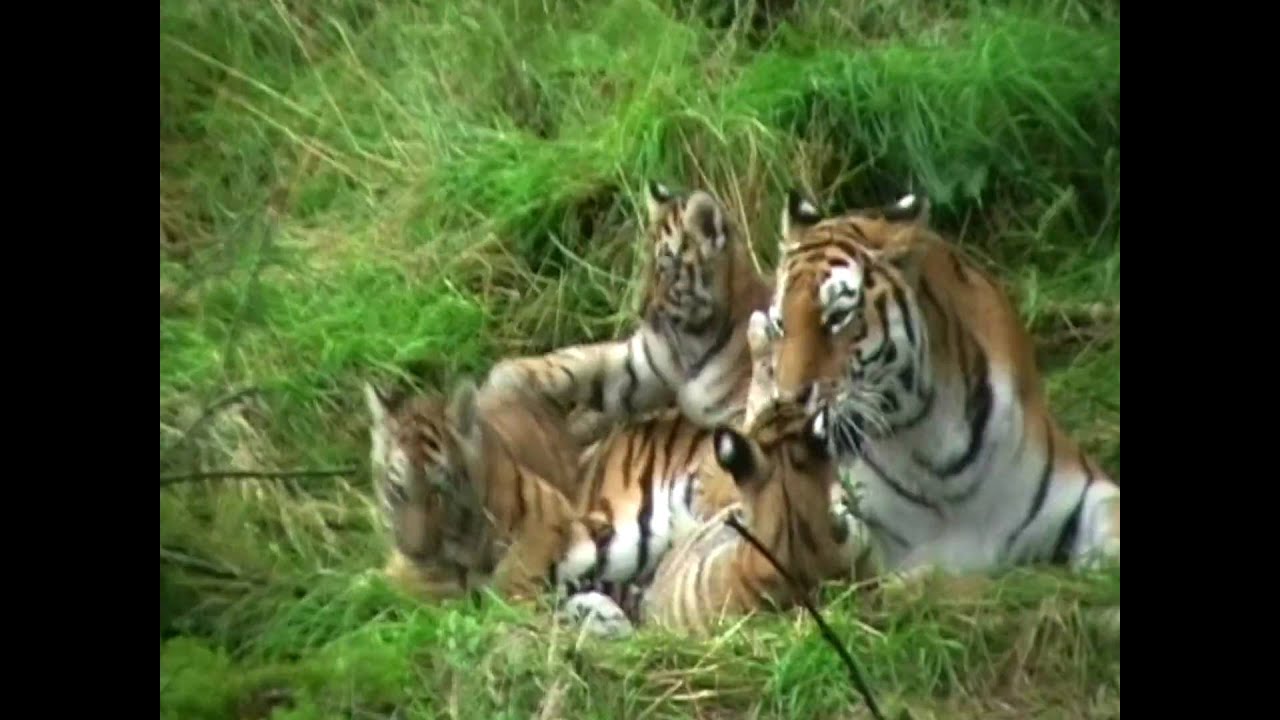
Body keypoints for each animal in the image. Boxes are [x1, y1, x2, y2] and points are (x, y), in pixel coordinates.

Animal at [483, 180, 774, 444]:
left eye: (665, 269)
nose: (637, 309)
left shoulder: (742, 414)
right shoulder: (635, 369)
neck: (691, 336)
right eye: (641, 262)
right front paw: (501, 383)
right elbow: (569, 363)